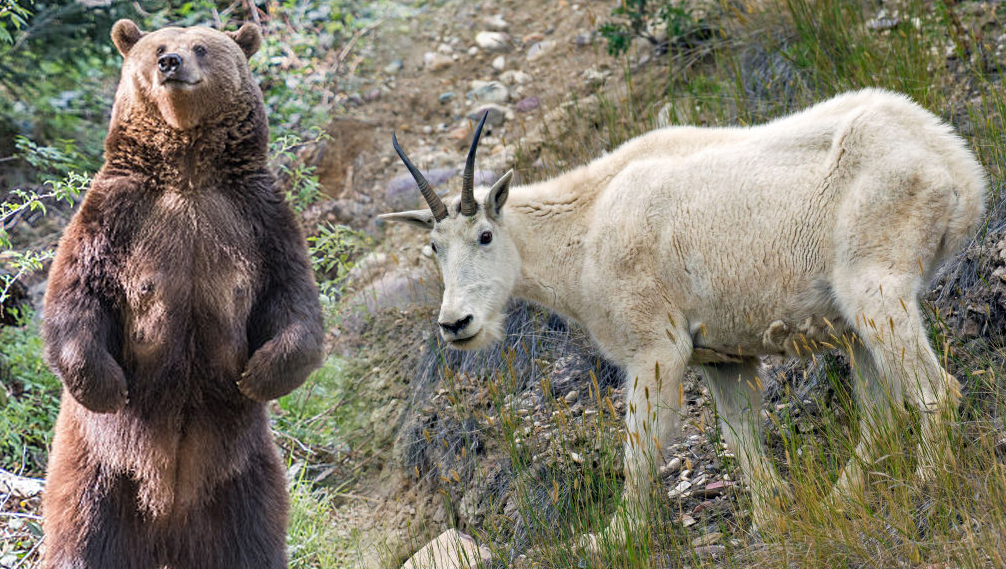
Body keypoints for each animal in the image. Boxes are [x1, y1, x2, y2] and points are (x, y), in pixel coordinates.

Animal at [39, 19, 325, 569]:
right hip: (98, 468)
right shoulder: (115, 214)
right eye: (157, 46)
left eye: (201, 46)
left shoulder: (257, 218)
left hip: (243, 472)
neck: (189, 171)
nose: (170, 63)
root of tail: (168, 525)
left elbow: (292, 297)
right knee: (80, 533)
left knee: (253, 538)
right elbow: (78, 292)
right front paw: (107, 385)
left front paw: (258, 375)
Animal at [380, 89, 987, 542]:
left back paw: (926, 485)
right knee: (880, 414)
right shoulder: (723, 356)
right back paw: (842, 498)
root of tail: (955, 164)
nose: (455, 325)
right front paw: (773, 516)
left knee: (936, 392)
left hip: (877, 290)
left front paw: (614, 538)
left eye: (485, 235)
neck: (586, 227)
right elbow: (741, 440)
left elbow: (641, 453)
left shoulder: (655, 349)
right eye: (433, 247)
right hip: (855, 323)